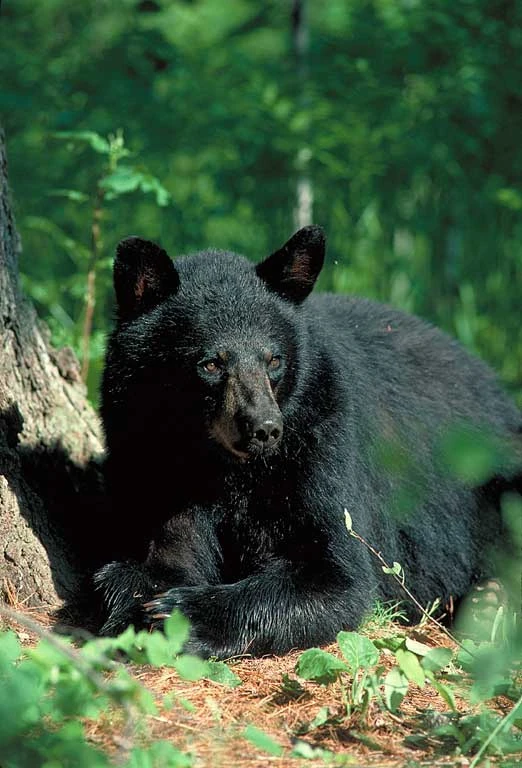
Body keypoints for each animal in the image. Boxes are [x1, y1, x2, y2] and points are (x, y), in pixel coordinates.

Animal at [94, 226, 522, 658]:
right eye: (211, 363)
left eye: (274, 360)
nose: (264, 428)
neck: (220, 466)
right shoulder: (154, 461)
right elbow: (162, 552)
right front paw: (136, 597)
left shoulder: (319, 443)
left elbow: (336, 570)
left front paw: (183, 613)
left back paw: (489, 602)